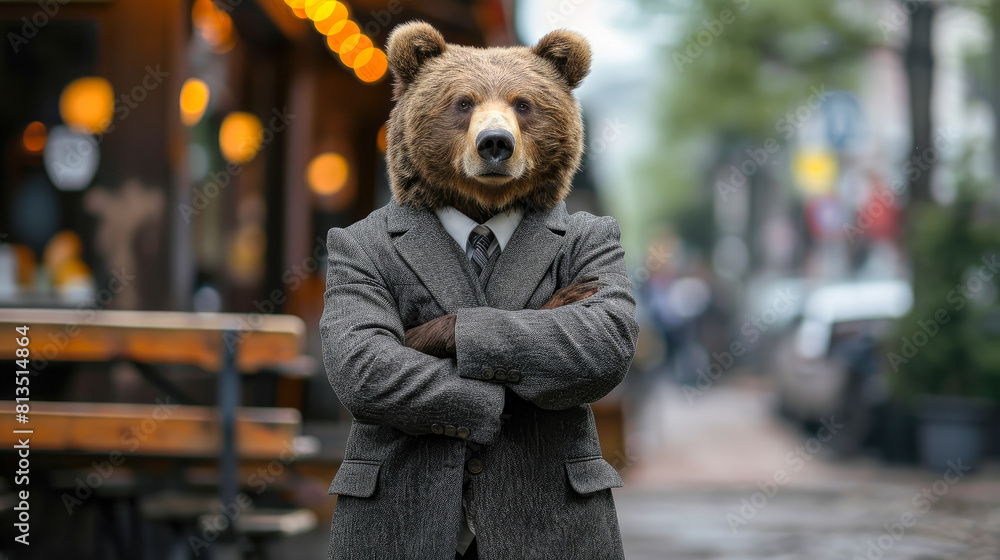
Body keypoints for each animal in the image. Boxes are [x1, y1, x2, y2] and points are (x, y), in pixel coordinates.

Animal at [320, 21, 639, 559]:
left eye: (523, 103)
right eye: (463, 102)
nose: (495, 143)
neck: (482, 213)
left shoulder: (603, 240)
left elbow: (599, 325)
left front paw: (575, 295)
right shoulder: (347, 253)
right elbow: (366, 346)